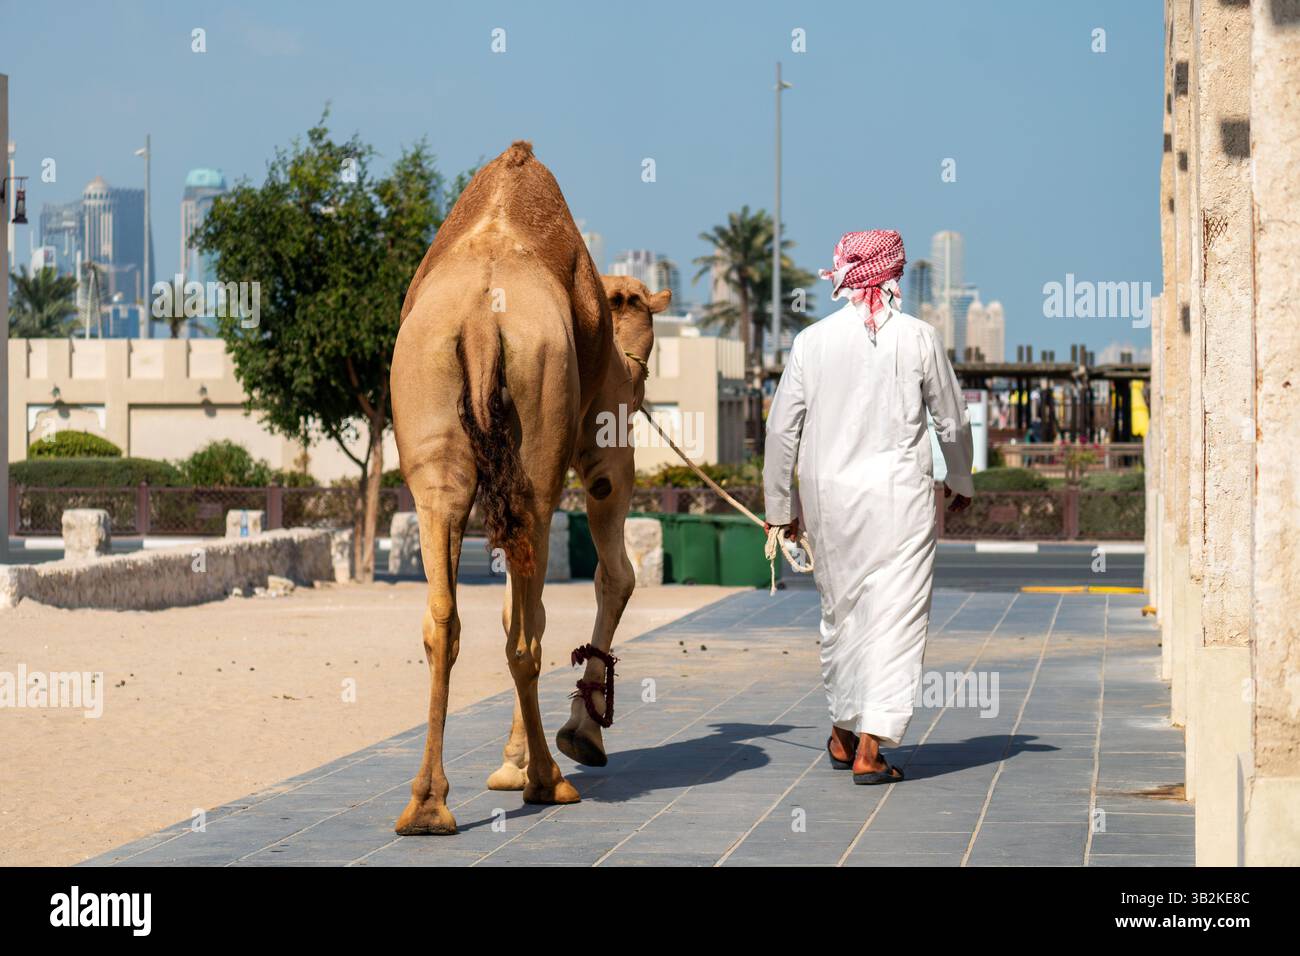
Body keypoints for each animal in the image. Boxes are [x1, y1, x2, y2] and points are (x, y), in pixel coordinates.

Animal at [390, 140, 670, 834]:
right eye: (646, 353)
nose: (640, 384)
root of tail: (480, 321)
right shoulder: (602, 447)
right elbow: (613, 576)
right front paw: (573, 740)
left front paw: (512, 761)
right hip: (538, 452)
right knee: (529, 629)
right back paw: (548, 779)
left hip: (433, 435)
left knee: (446, 619)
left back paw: (427, 805)